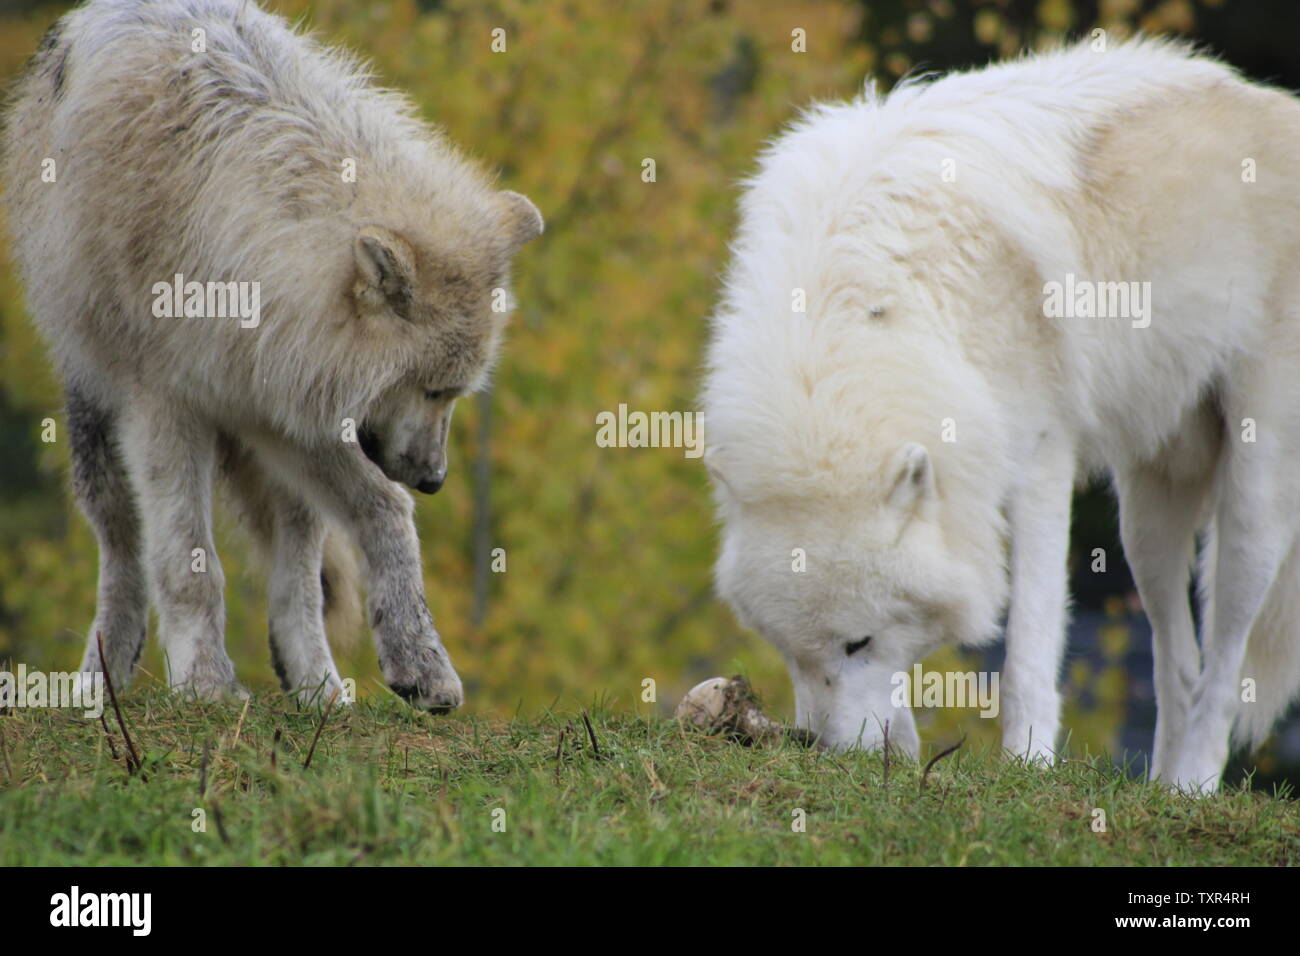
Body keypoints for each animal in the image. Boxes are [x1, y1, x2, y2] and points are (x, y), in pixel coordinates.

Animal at [1, 0, 542, 709]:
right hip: (98, 411)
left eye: (451, 394)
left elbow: (384, 516)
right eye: (433, 390)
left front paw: (420, 663)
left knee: (300, 574)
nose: (434, 480)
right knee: (121, 549)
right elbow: (187, 566)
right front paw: (206, 684)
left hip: (278, 443)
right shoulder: (166, 406)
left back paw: (318, 689)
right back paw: (103, 678)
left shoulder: (290, 402)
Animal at [704, 37, 1300, 792]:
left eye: (858, 642)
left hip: (1252, 498)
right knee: (1180, 666)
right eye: (787, 649)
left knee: (1225, 665)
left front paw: (1029, 764)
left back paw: (1193, 784)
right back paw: (1162, 789)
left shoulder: (1039, 459)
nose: (829, 756)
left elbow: (1027, 654)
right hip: (1145, 524)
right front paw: (903, 751)